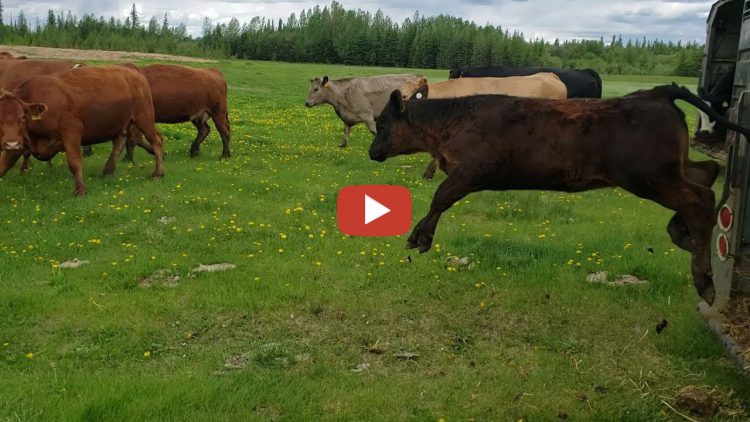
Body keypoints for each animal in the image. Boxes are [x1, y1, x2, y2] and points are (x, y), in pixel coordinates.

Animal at [0, 65, 165, 196]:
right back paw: (108, 171)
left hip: (144, 118)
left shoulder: (72, 132)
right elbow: (4, 165)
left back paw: (158, 173)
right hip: (120, 124)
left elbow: (74, 162)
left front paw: (80, 190)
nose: (11, 143)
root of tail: (133, 71)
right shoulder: (19, 143)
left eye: (22, 117)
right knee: (119, 142)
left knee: (156, 141)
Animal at [369, 84, 750, 306]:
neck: (453, 122)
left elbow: (440, 198)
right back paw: (681, 233)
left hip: (649, 178)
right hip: (669, 171)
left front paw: (419, 237)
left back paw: (704, 280)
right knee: (706, 176)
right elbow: (441, 198)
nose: (372, 152)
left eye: (383, 124)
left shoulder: (470, 172)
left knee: (699, 200)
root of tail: (655, 94)